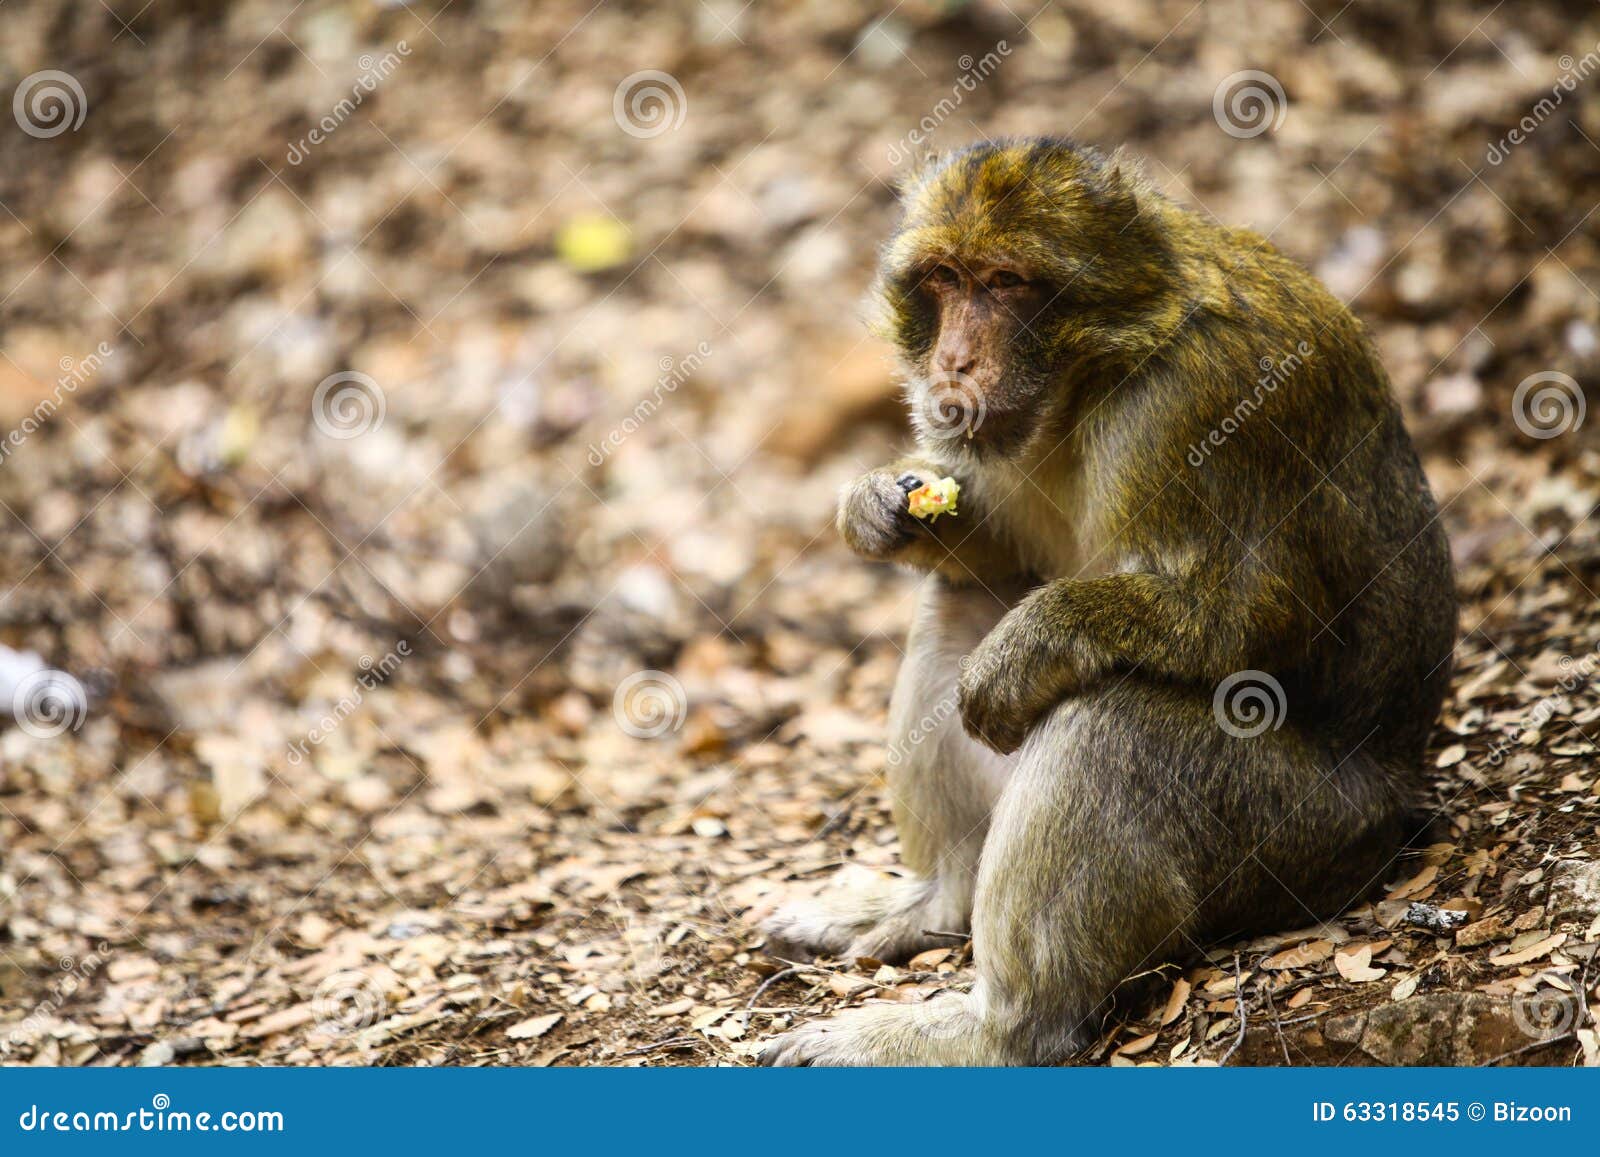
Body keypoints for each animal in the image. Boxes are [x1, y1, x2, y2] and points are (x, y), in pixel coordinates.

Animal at [757, 139, 1456, 1066]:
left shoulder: (1201, 401)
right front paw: (876, 503)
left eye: (1007, 282)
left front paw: (1032, 641)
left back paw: (997, 1027)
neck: (1102, 368)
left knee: (1111, 726)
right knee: (961, 602)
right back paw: (935, 899)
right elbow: (1006, 552)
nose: (953, 364)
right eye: (945, 278)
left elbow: (1241, 619)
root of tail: (1401, 793)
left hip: (1305, 831)